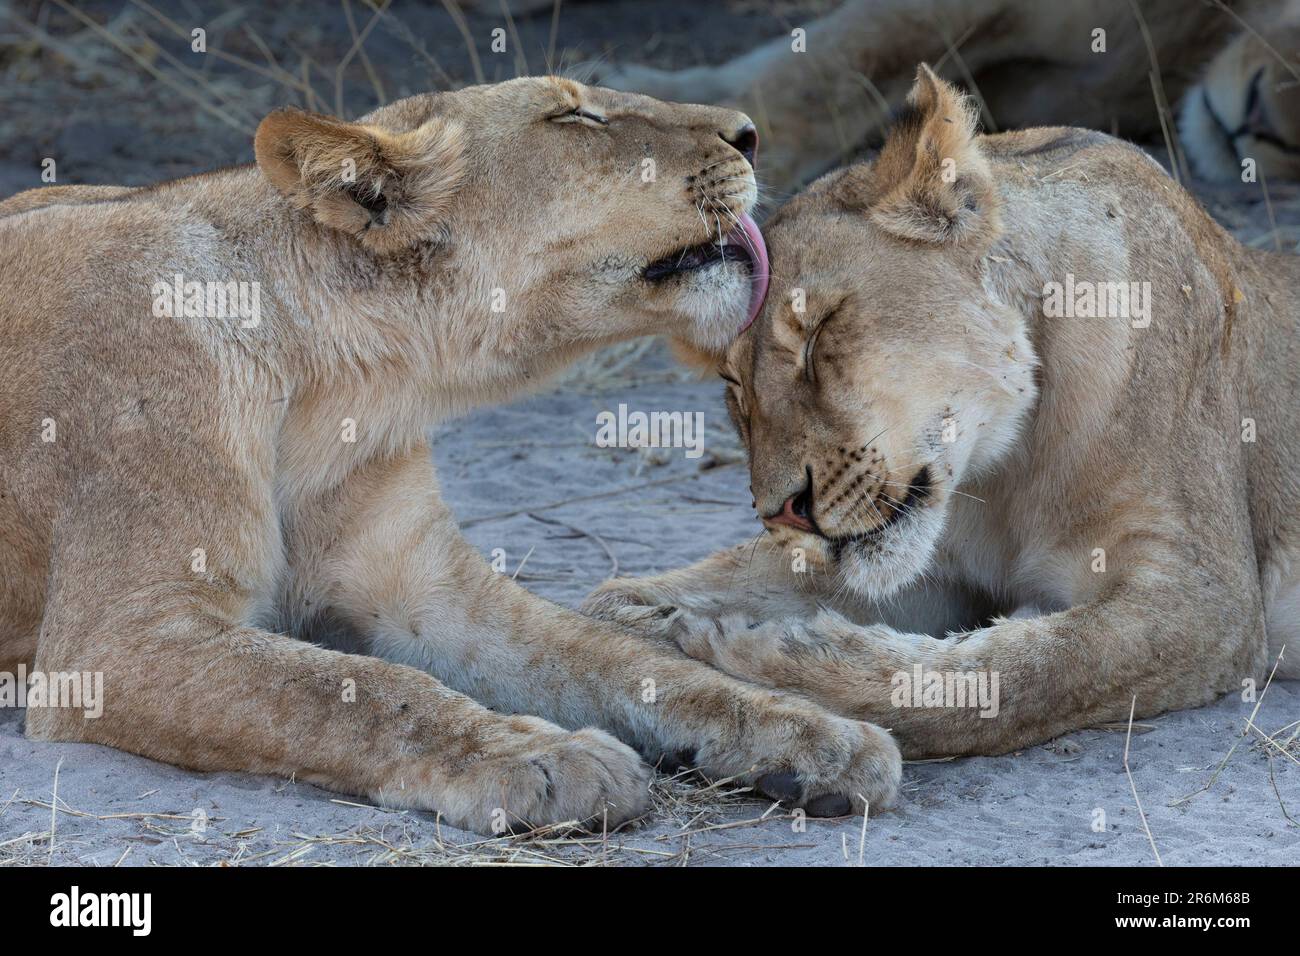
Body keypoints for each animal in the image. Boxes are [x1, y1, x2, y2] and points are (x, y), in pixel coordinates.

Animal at [0, 76, 903, 835]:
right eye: (574, 116)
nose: (751, 132)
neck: (344, 387)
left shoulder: (432, 596)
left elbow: (625, 658)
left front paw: (815, 732)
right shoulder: (113, 643)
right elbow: (358, 691)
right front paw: (542, 756)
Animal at [585, 66, 1300, 761]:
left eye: (819, 334)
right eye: (734, 387)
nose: (781, 512)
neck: (1010, 465)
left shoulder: (1208, 599)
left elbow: (1016, 675)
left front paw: (765, 652)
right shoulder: (939, 564)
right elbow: (671, 589)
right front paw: (635, 615)